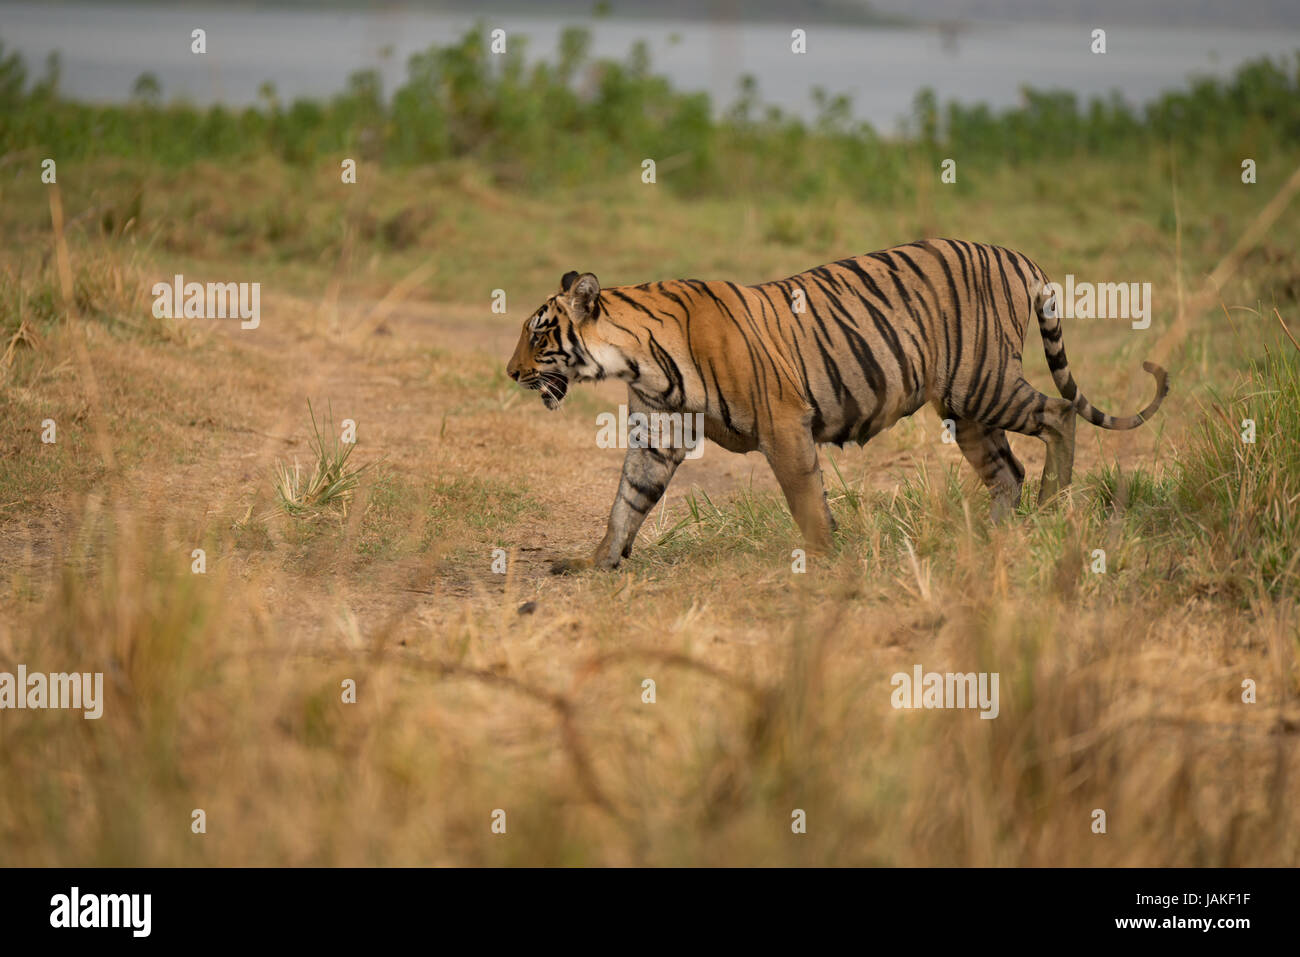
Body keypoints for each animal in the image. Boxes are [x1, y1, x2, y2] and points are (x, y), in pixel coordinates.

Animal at [505, 240, 1169, 573]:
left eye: (538, 336)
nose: (511, 373)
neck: (637, 357)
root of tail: (1016, 255)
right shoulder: (657, 432)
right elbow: (627, 499)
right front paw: (597, 560)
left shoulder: (783, 423)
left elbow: (805, 496)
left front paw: (823, 557)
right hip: (966, 409)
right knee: (1009, 470)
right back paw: (994, 537)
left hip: (982, 382)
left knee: (1058, 414)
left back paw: (1052, 504)